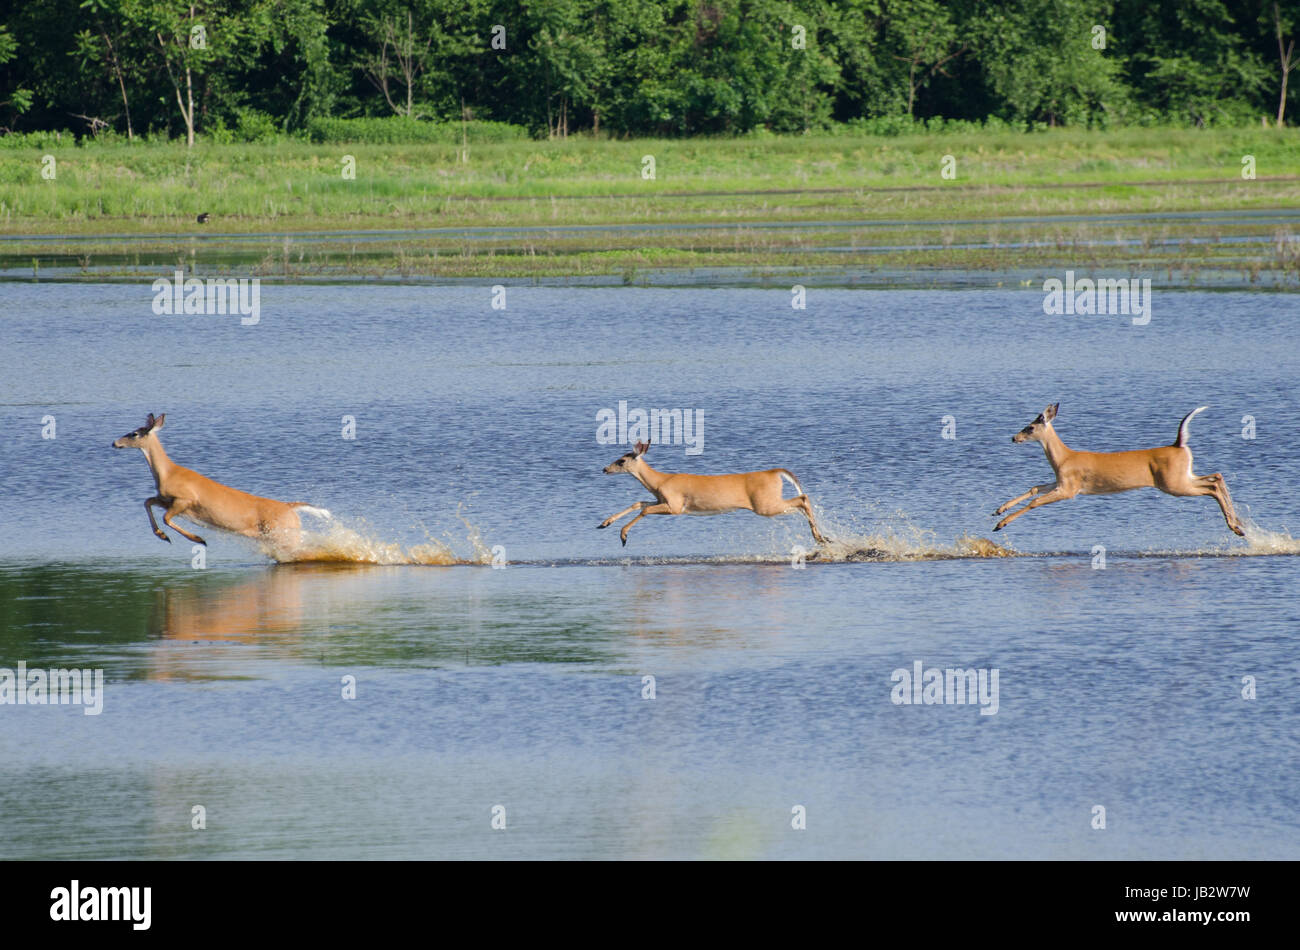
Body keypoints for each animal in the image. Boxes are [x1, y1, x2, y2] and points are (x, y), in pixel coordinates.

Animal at [112, 413, 331, 549]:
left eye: (134, 433)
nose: (115, 443)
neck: (168, 473)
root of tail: (290, 507)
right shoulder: (165, 499)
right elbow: (147, 501)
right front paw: (163, 536)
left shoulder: (185, 499)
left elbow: (166, 518)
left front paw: (198, 539)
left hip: (280, 532)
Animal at [598, 440, 828, 547]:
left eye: (621, 460)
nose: (605, 469)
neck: (660, 481)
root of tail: (774, 472)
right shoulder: (661, 499)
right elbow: (638, 503)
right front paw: (604, 523)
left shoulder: (675, 506)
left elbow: (644, 510)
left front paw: (623, 536)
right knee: (802, 501)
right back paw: (823, 538)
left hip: (765, 505)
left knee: (803, 498)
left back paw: (820, 538)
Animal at [994, 404, 1246, 536]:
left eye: (1030, 427)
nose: (1014, 437)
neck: (1064, 458)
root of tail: (1179, 444)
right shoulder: (1061, 482)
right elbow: (1035, 488)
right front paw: (999, 510)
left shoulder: (1070, 489)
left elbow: (1036, 501)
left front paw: (1000, 524)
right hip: (1183, 477)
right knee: (1217, 477)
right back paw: (1239, 524)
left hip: (1173, 484)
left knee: (1211, 487)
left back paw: (1236, 527)